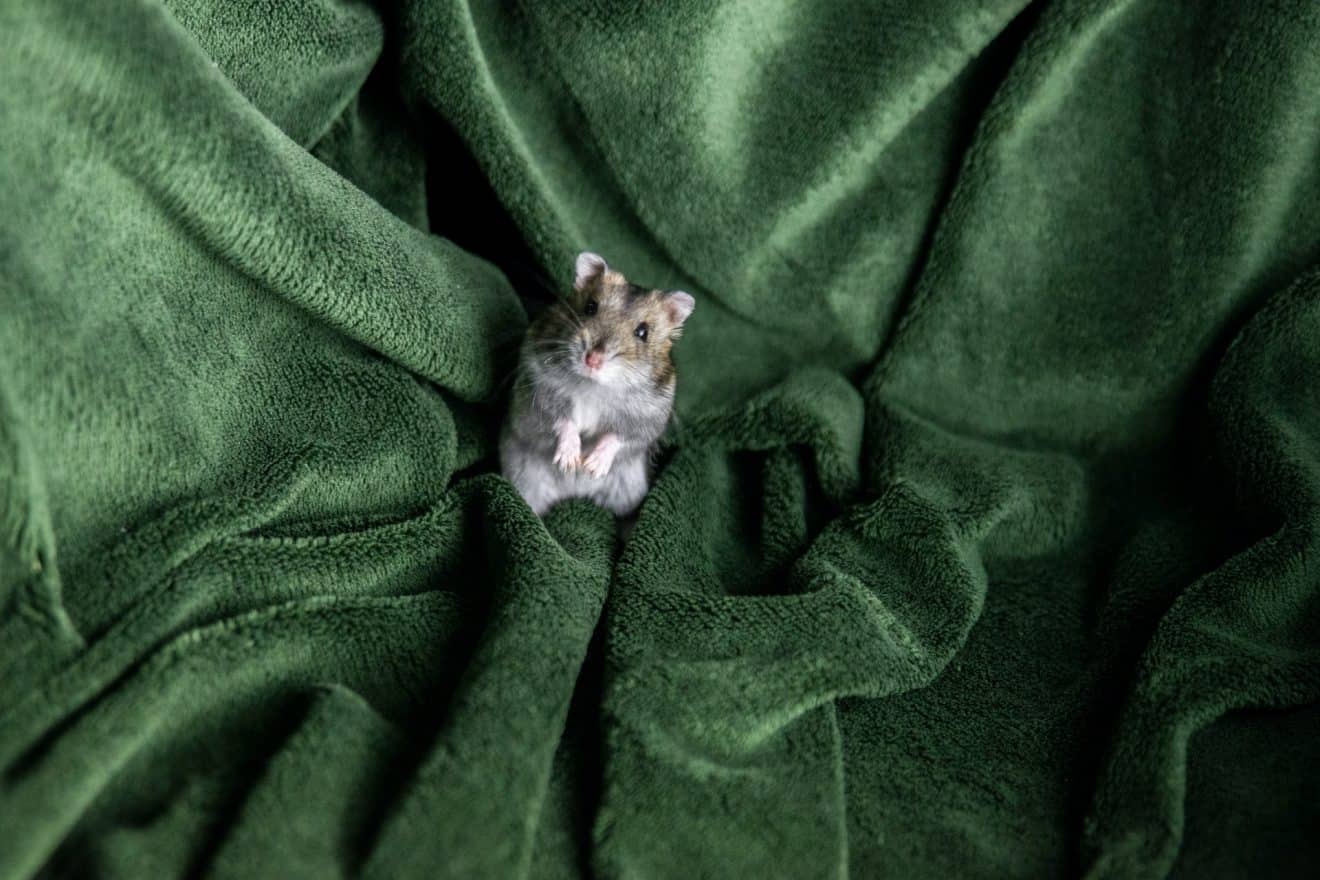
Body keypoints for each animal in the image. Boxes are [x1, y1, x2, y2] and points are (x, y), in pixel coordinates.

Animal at [500, 252, 695, 517]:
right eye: (590, 307)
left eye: (643, 332)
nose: (592, 360)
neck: (593, 387)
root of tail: (574, 494)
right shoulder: (537, 392)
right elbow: (562, 420)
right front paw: (570, 462)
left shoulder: (648, 417)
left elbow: (619, 436)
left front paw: (591, 466)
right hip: (525, 482)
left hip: (629, 491)